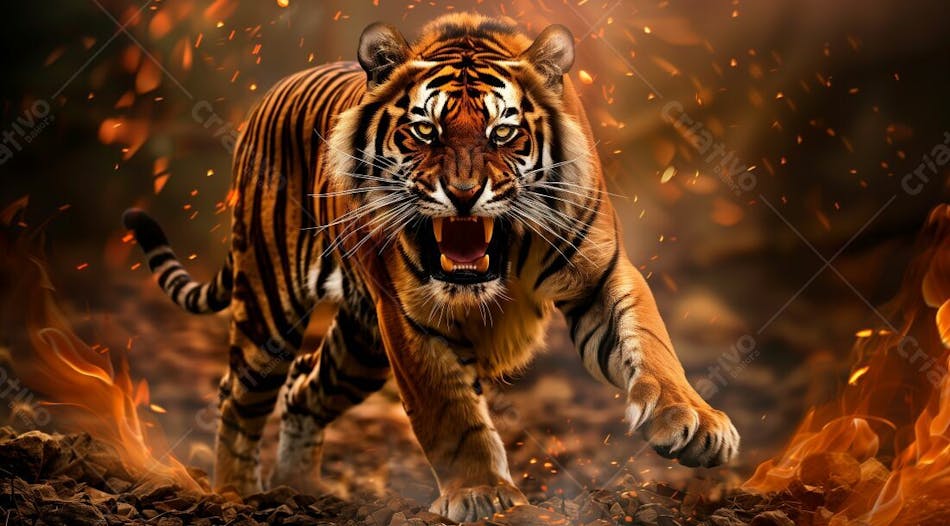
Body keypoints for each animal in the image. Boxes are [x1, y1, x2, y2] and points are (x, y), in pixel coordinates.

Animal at [122, 13, 739, 522]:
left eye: (503, 131)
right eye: (425, 130)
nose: (464, 194)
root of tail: (273, 91)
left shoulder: (602, 276)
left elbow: (651, 345)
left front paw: (696, 424)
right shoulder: (409, 319)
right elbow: (450, 412)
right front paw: (481, 492)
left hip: (360, 350)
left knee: (304, 387)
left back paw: (301, 489)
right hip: (271, 304)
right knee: (239, 394)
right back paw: (234, 494)